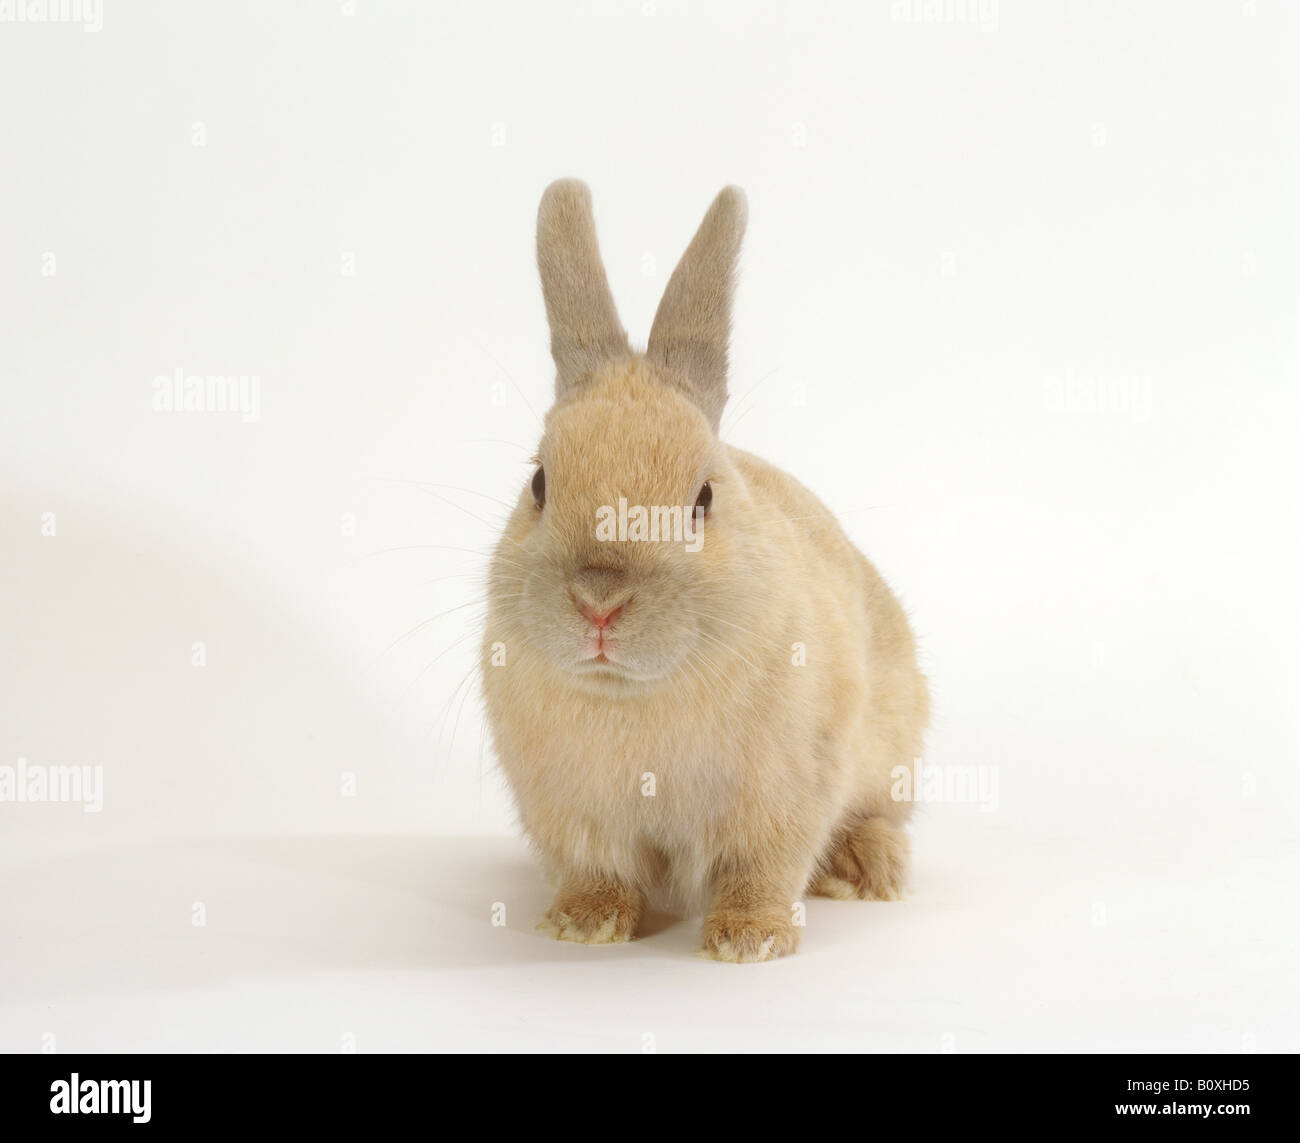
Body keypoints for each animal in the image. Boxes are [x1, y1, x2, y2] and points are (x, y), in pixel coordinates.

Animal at [481, 179, 929, 962]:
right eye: (539, 484)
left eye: (703, 499)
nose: (599, 601)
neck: (633, 694)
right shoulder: (569, 814)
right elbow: (597, 868)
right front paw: (583, 925)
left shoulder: (787, 791)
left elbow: (763, 866)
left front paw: (748, 940)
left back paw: (866, 870)